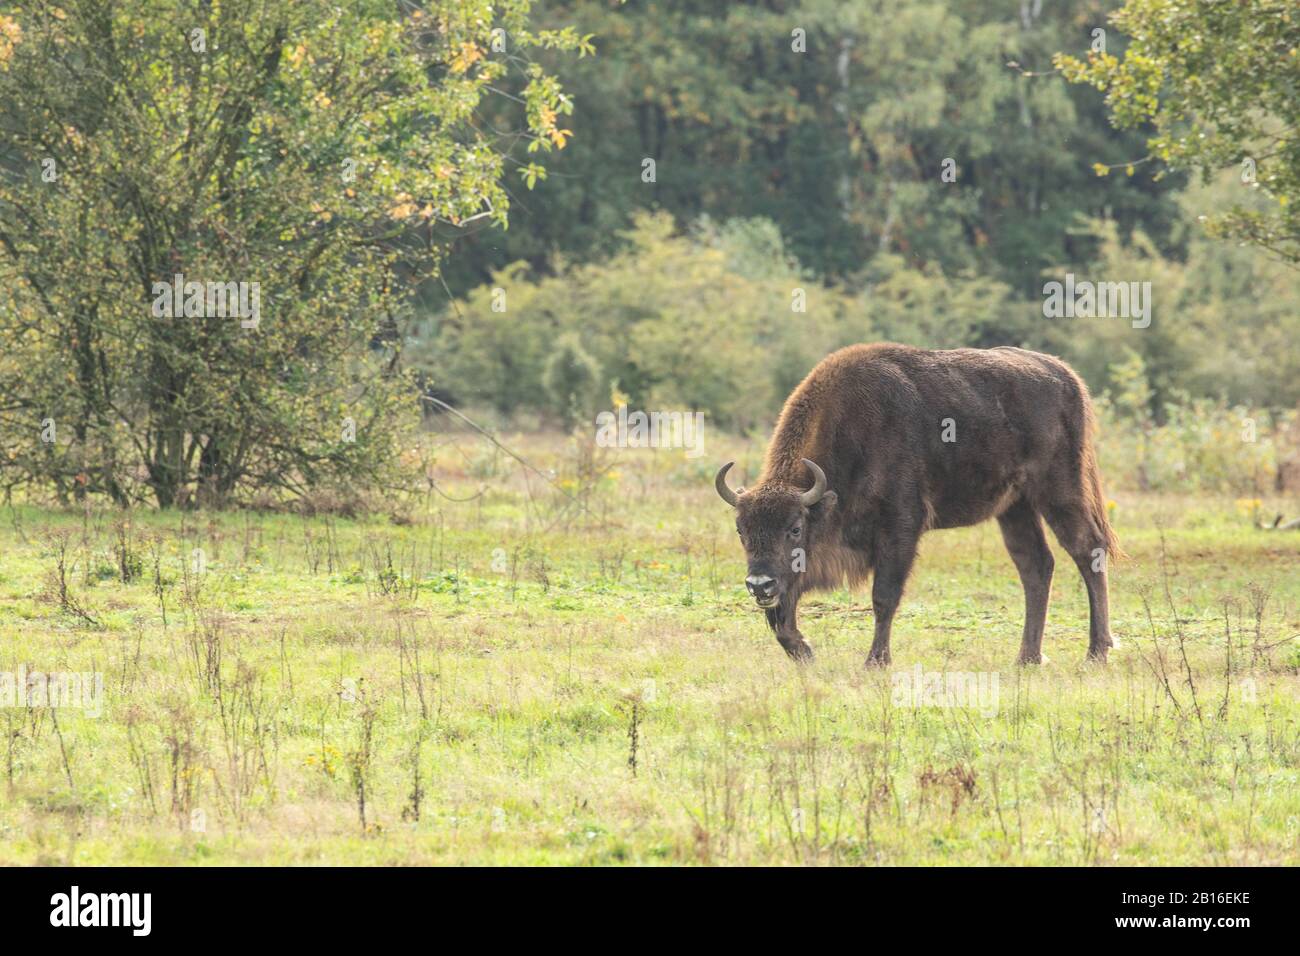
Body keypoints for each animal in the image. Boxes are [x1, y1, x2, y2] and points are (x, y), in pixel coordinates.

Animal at [715, 343, 1120, 666]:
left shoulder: (900, 526)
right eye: (741, 530)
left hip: (1059, 491)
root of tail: (1065, 375)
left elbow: (884, 596)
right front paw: (805, 653)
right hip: (1015, 507)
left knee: (1088, 550)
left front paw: (876, 661)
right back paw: (1028, 657)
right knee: (1036, 565)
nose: (759, 584)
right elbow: (782, 613)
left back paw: (1096, 652)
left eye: (795, 528)